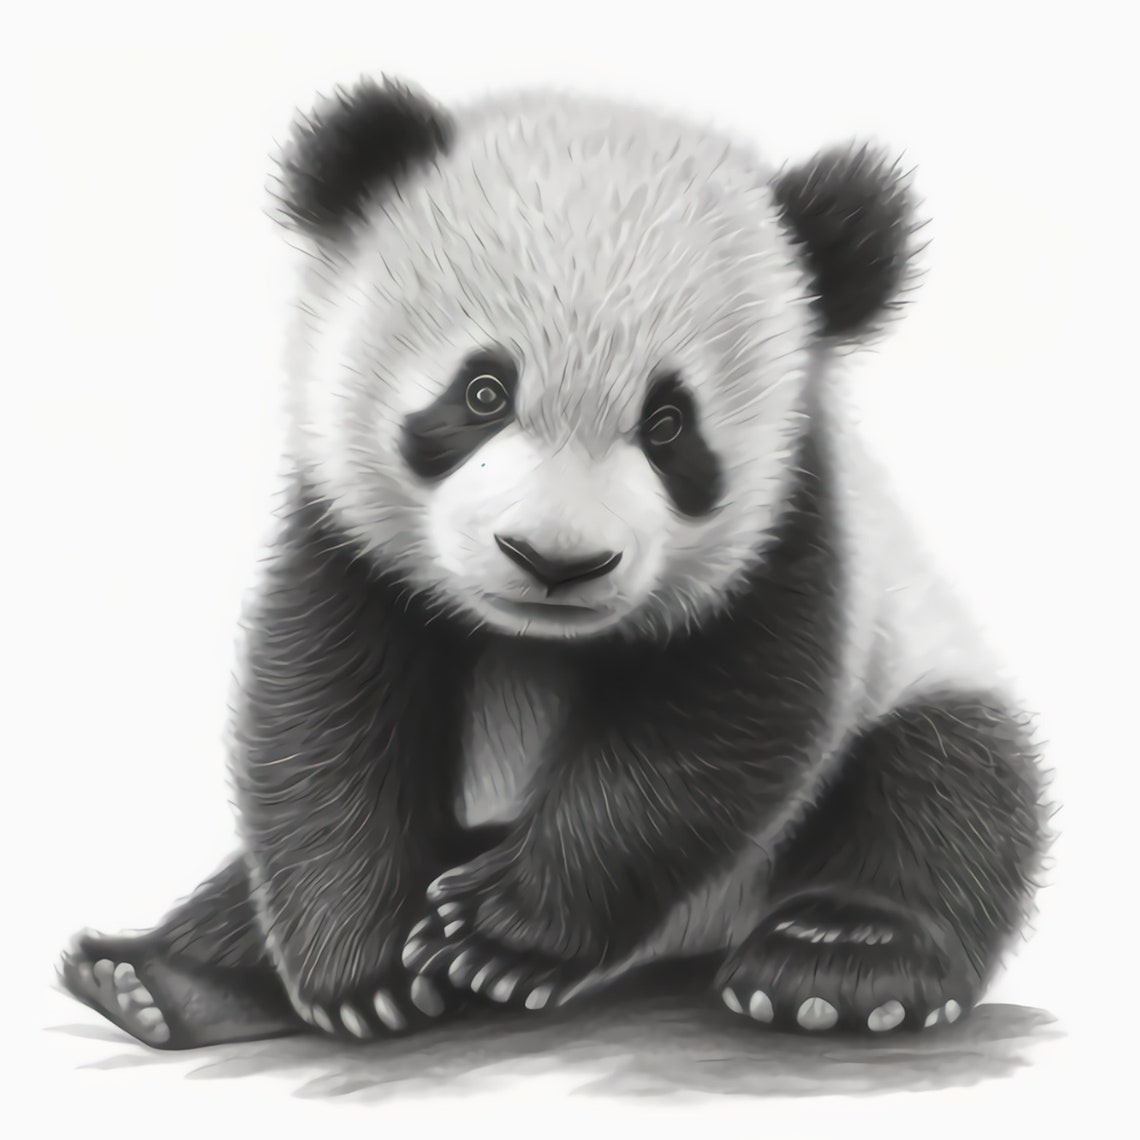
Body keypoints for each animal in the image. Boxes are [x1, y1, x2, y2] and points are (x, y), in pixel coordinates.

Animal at [58, 75, 1049, 1051]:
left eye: (669, 425)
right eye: (481, 392)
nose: (554, 560)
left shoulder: (796, 534)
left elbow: (714, 725)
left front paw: (494, 936)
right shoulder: (350, 532)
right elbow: (323, 714)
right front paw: (364, 970)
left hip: (906, 681)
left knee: (942, 789)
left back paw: (831, 966)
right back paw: (158, 982)